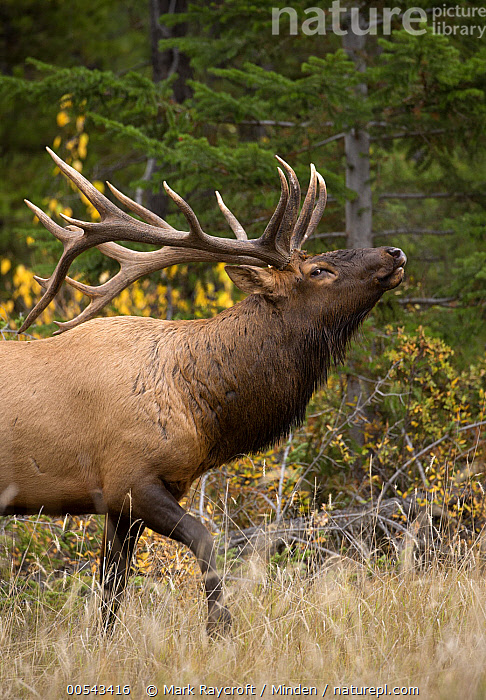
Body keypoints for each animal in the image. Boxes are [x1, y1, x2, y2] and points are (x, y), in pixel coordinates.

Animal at [0, 148, 406, 634]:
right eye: (318, 269)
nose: (394, 251)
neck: (198, 409)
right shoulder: (131, 478)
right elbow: (205, 539)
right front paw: (219, 624)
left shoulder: (121, 500)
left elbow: (111, 590)